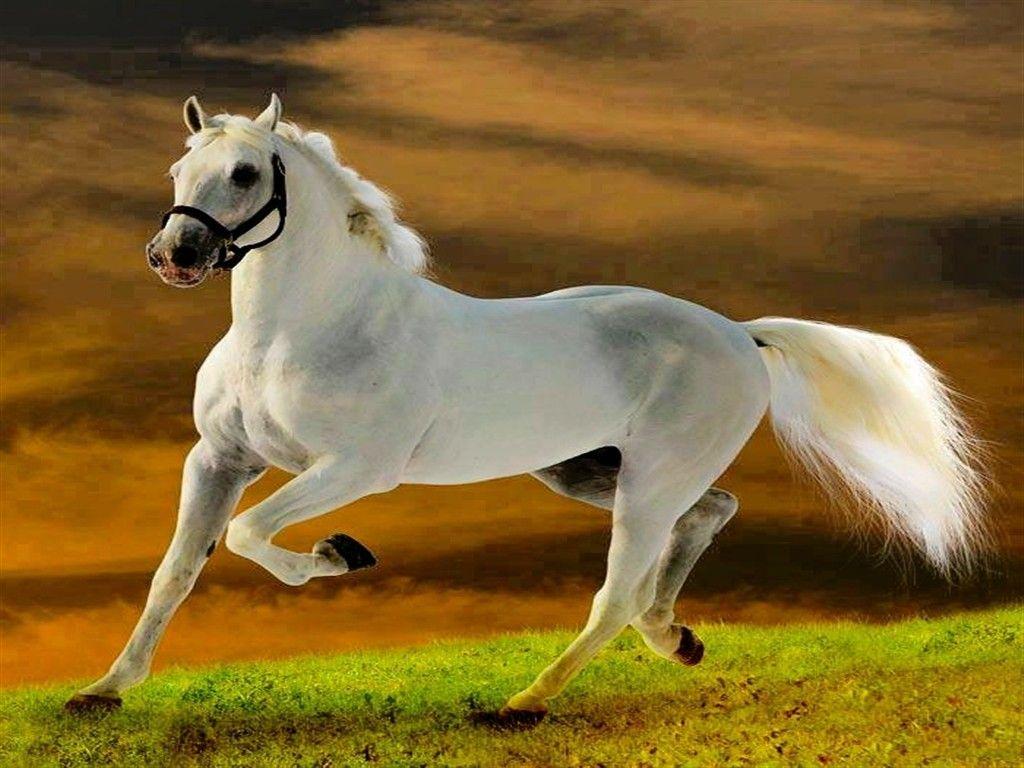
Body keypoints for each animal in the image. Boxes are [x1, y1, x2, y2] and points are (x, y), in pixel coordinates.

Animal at [66, 95, 988, 720]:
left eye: (247, 172)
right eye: (178, 171)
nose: (174, 254)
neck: (300, 328)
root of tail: (737, 332)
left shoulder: (357, 468)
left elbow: (252, 535)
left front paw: (340, 555)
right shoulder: (219, 459)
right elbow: (178, 570)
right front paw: (104, 690)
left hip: (652, 476)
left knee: (615, 592)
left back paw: (525, 702)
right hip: (587, 469)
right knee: (710, 514)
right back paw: (676, 638)